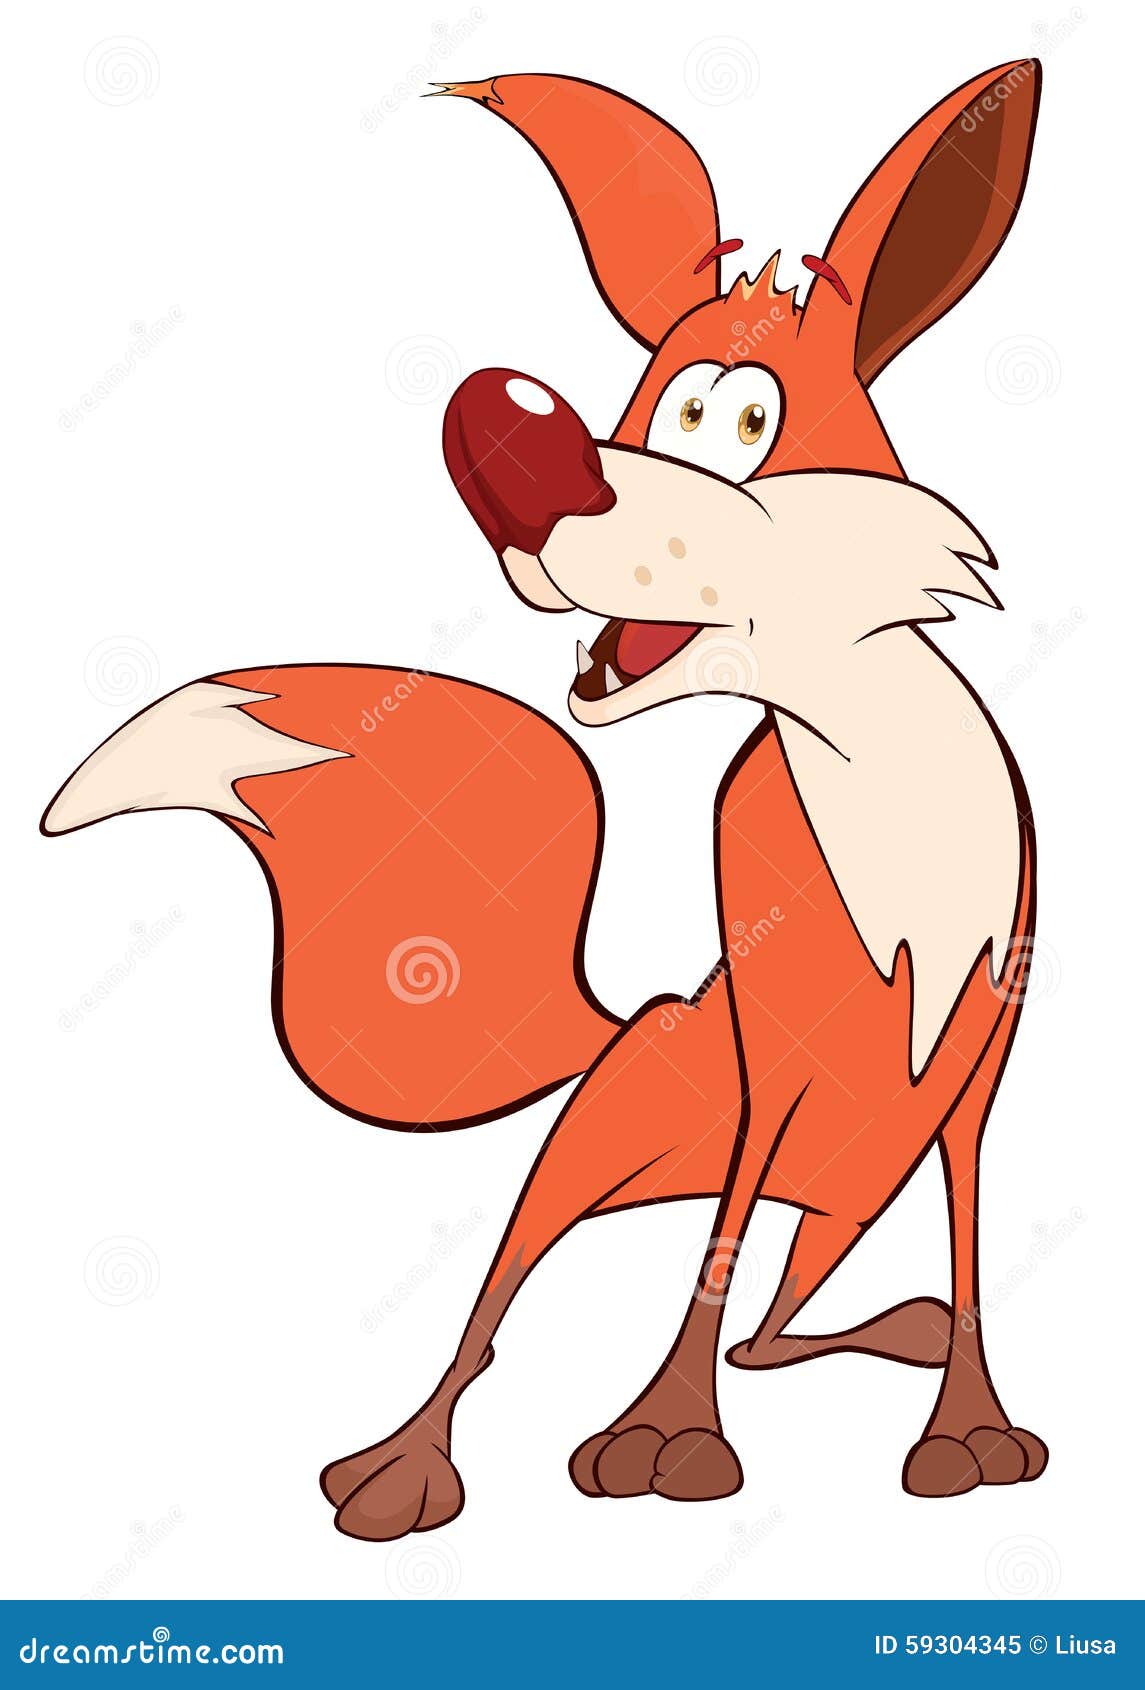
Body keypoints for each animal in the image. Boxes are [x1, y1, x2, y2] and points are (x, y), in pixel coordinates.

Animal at [42, 60, 1046, 1541]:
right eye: (657, 408)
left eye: (746, 421)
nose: (502, 443)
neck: (881, 769)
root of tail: (620, 1024)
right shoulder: (766, 1061)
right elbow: (707, 1259)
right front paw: (665, 1431)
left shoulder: (979, 1058)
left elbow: (972, 1233)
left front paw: (968, 1422)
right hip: (619, 1122)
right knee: (525, 1299)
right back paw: (404, 1463)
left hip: (843, 1192)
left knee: (777, 1318)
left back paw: (896, 1327)